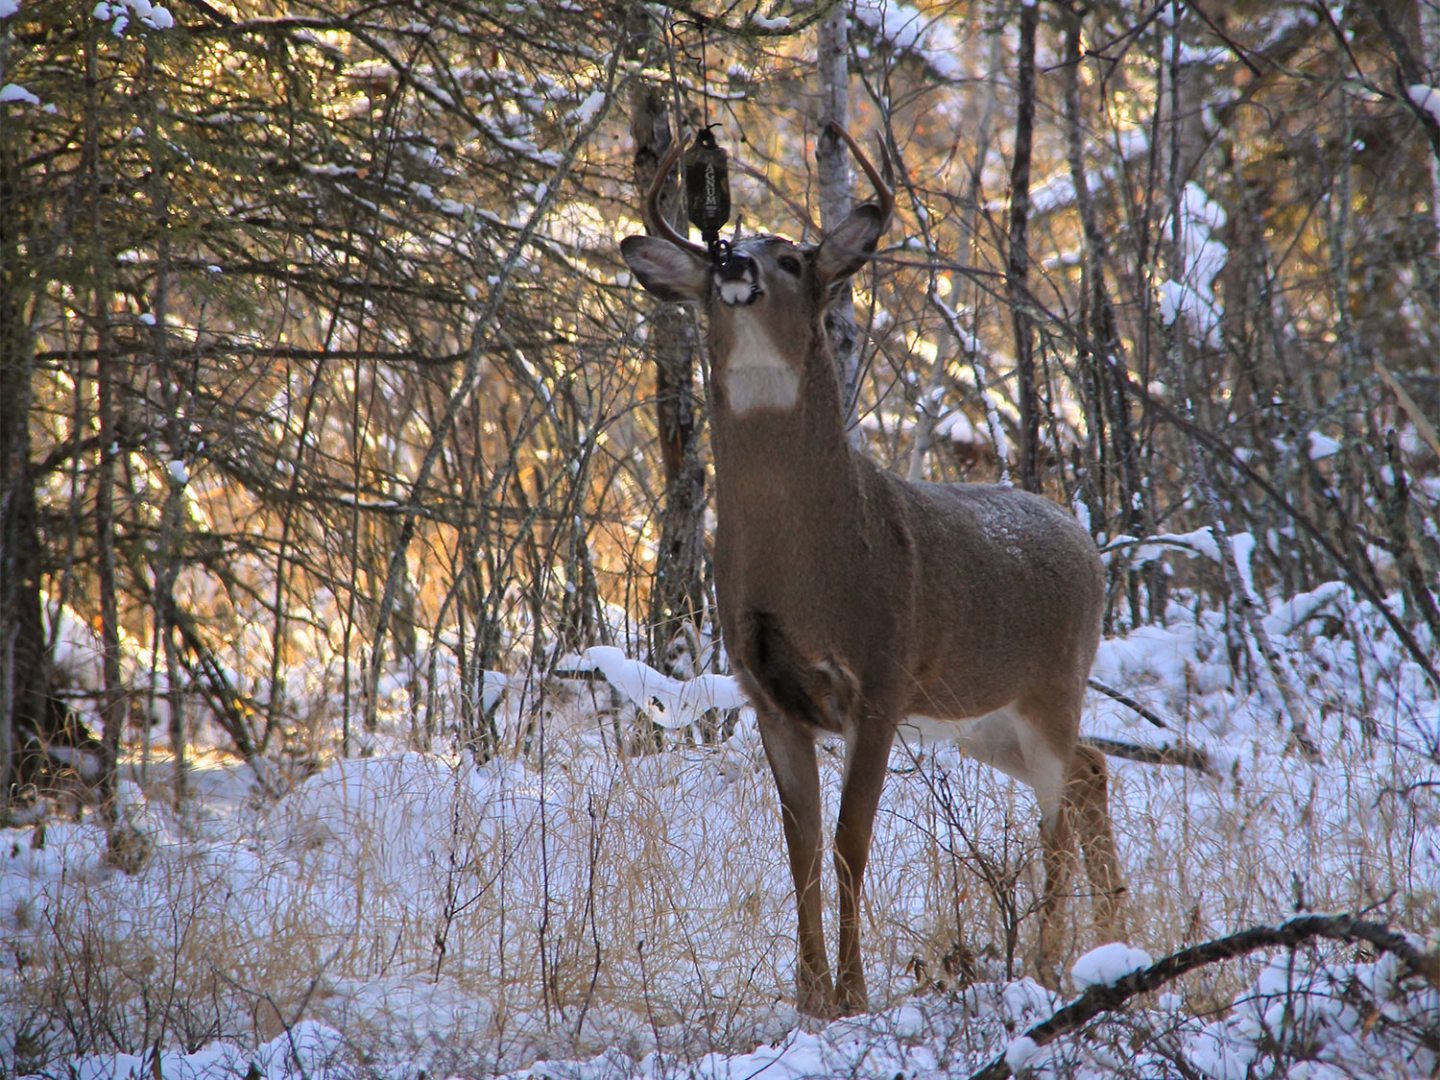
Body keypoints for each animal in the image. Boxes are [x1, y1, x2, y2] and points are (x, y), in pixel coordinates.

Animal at [619, 124, 1125, 1018]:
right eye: (718, 255)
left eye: (792, 258)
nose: (734, 265)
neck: (812, 564)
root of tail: (1082, 536)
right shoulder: (768, 695)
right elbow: (799, 845)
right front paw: (808, 994)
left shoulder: (880, 676)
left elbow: (851, 839)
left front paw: (852, 995)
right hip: (981, 714)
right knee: (1093, 770)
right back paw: (1107, 936)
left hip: (1050, 686)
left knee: (1057, 813)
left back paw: (1048, 959)